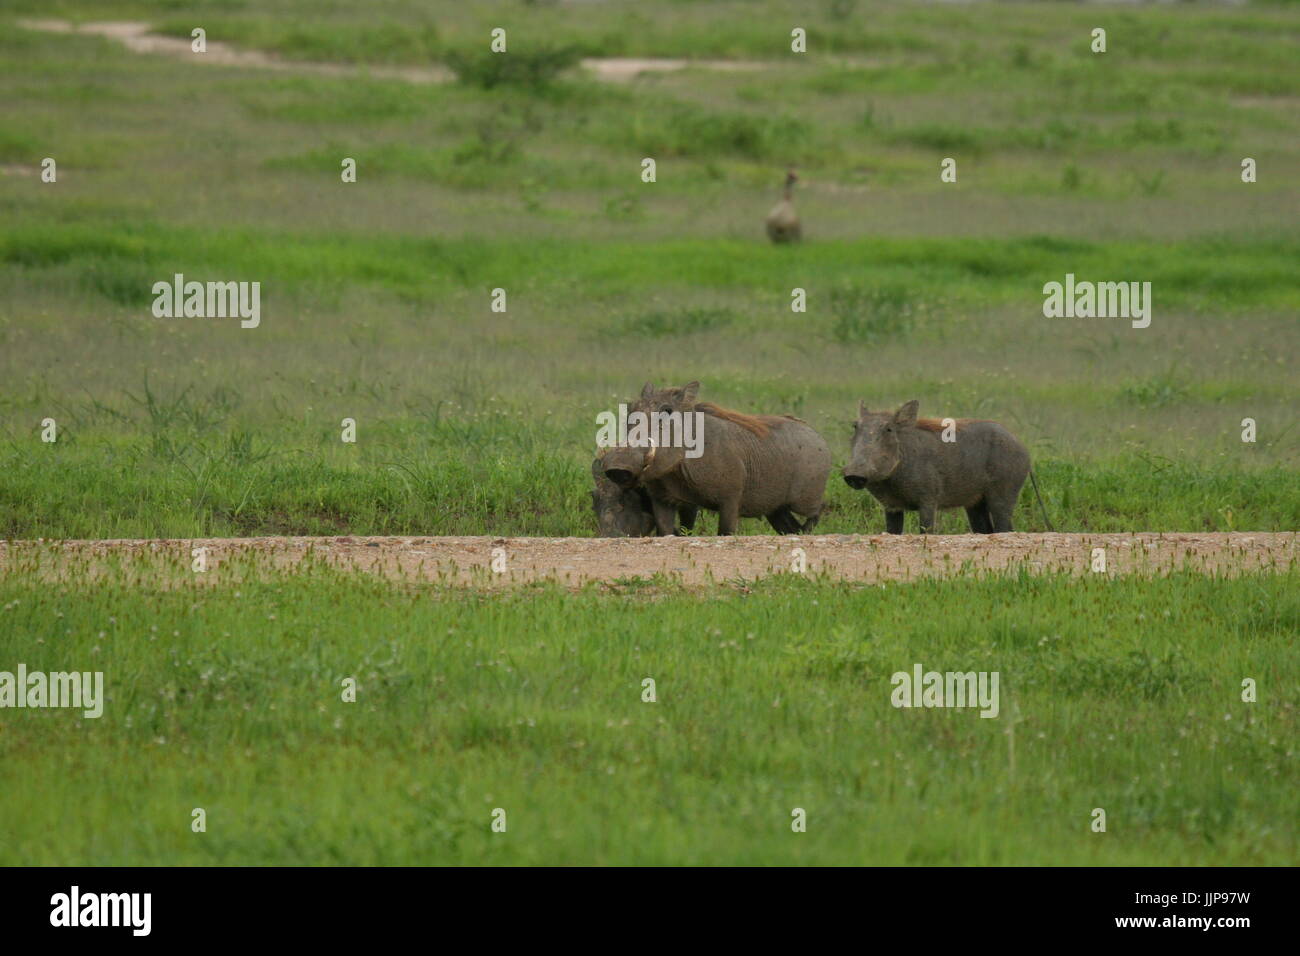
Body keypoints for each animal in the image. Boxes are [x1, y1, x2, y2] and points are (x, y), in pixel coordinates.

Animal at [602, 381, 832, 536]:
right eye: (630, 409)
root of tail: (819, 437)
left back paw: (807, 530)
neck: (678, 469)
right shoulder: (663, 499)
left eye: (667, 411)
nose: (618, 468)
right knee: (789, 527)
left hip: (804, 500)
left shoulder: (730, 499)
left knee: (818, 511)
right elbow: (667, 531)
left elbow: (726, 531)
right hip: (776, 508)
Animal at [842, 399, 1030, 533]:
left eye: (889, 429)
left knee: (1004, 528)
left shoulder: (928, 501)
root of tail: (1020, 444)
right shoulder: (892, 507)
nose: (854, 474)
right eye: (855, 426)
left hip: (1002, 498)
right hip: (975, 504)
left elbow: (926, 531)